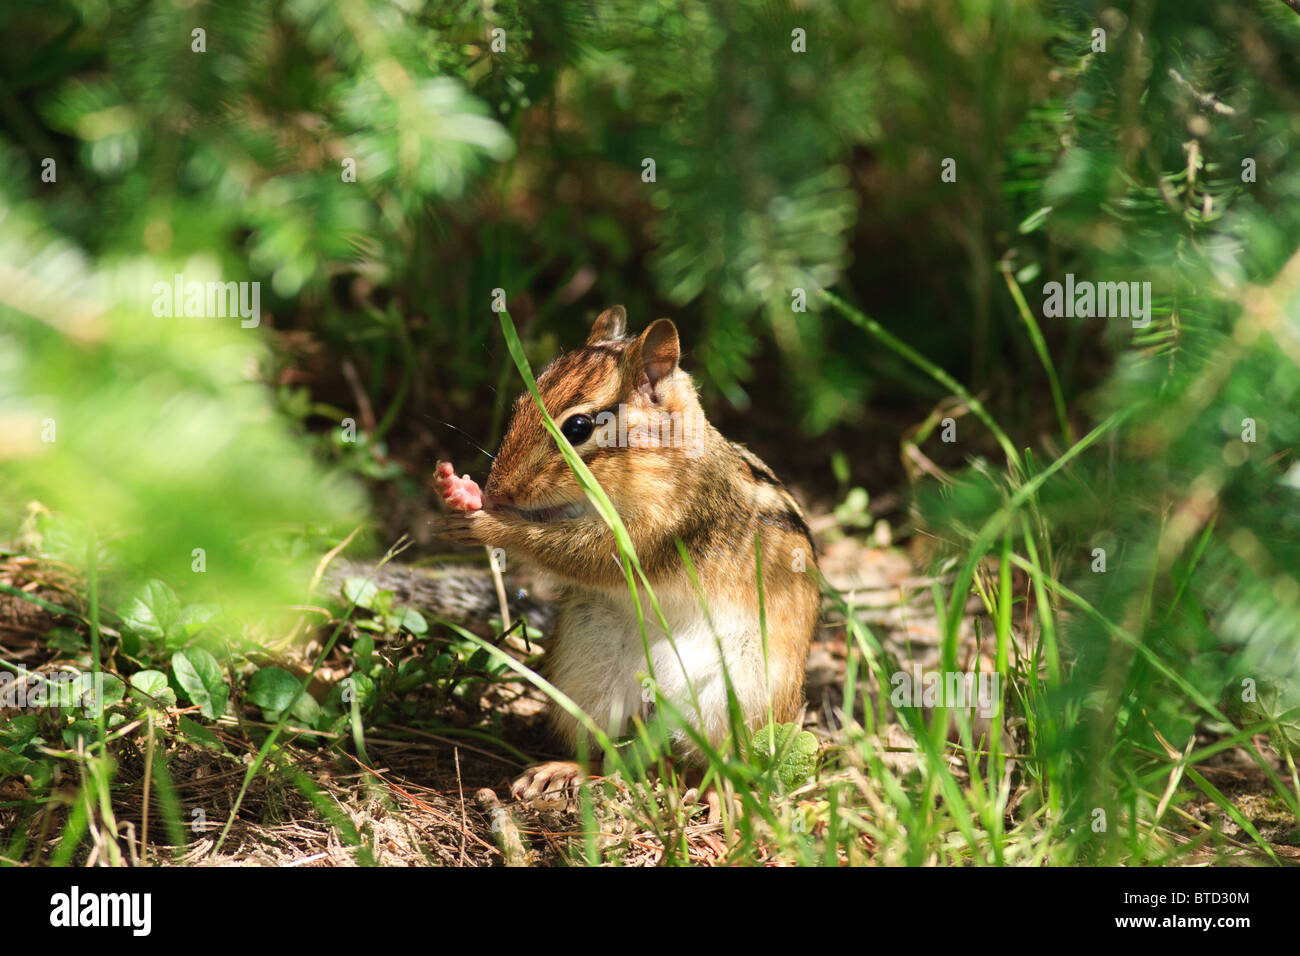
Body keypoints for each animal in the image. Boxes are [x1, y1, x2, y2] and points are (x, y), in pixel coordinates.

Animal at [434, 306, 821, 801]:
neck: (661, 459)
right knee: (607, 750)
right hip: (585, 667)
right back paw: (563, 770)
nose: (499, 491)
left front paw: (488, 523)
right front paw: (462, 495)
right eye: (520, 402)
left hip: (741, 697)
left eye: (577, 428)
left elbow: (586, 555)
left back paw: (720, 796)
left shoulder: (661, 530)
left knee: (721, 762)